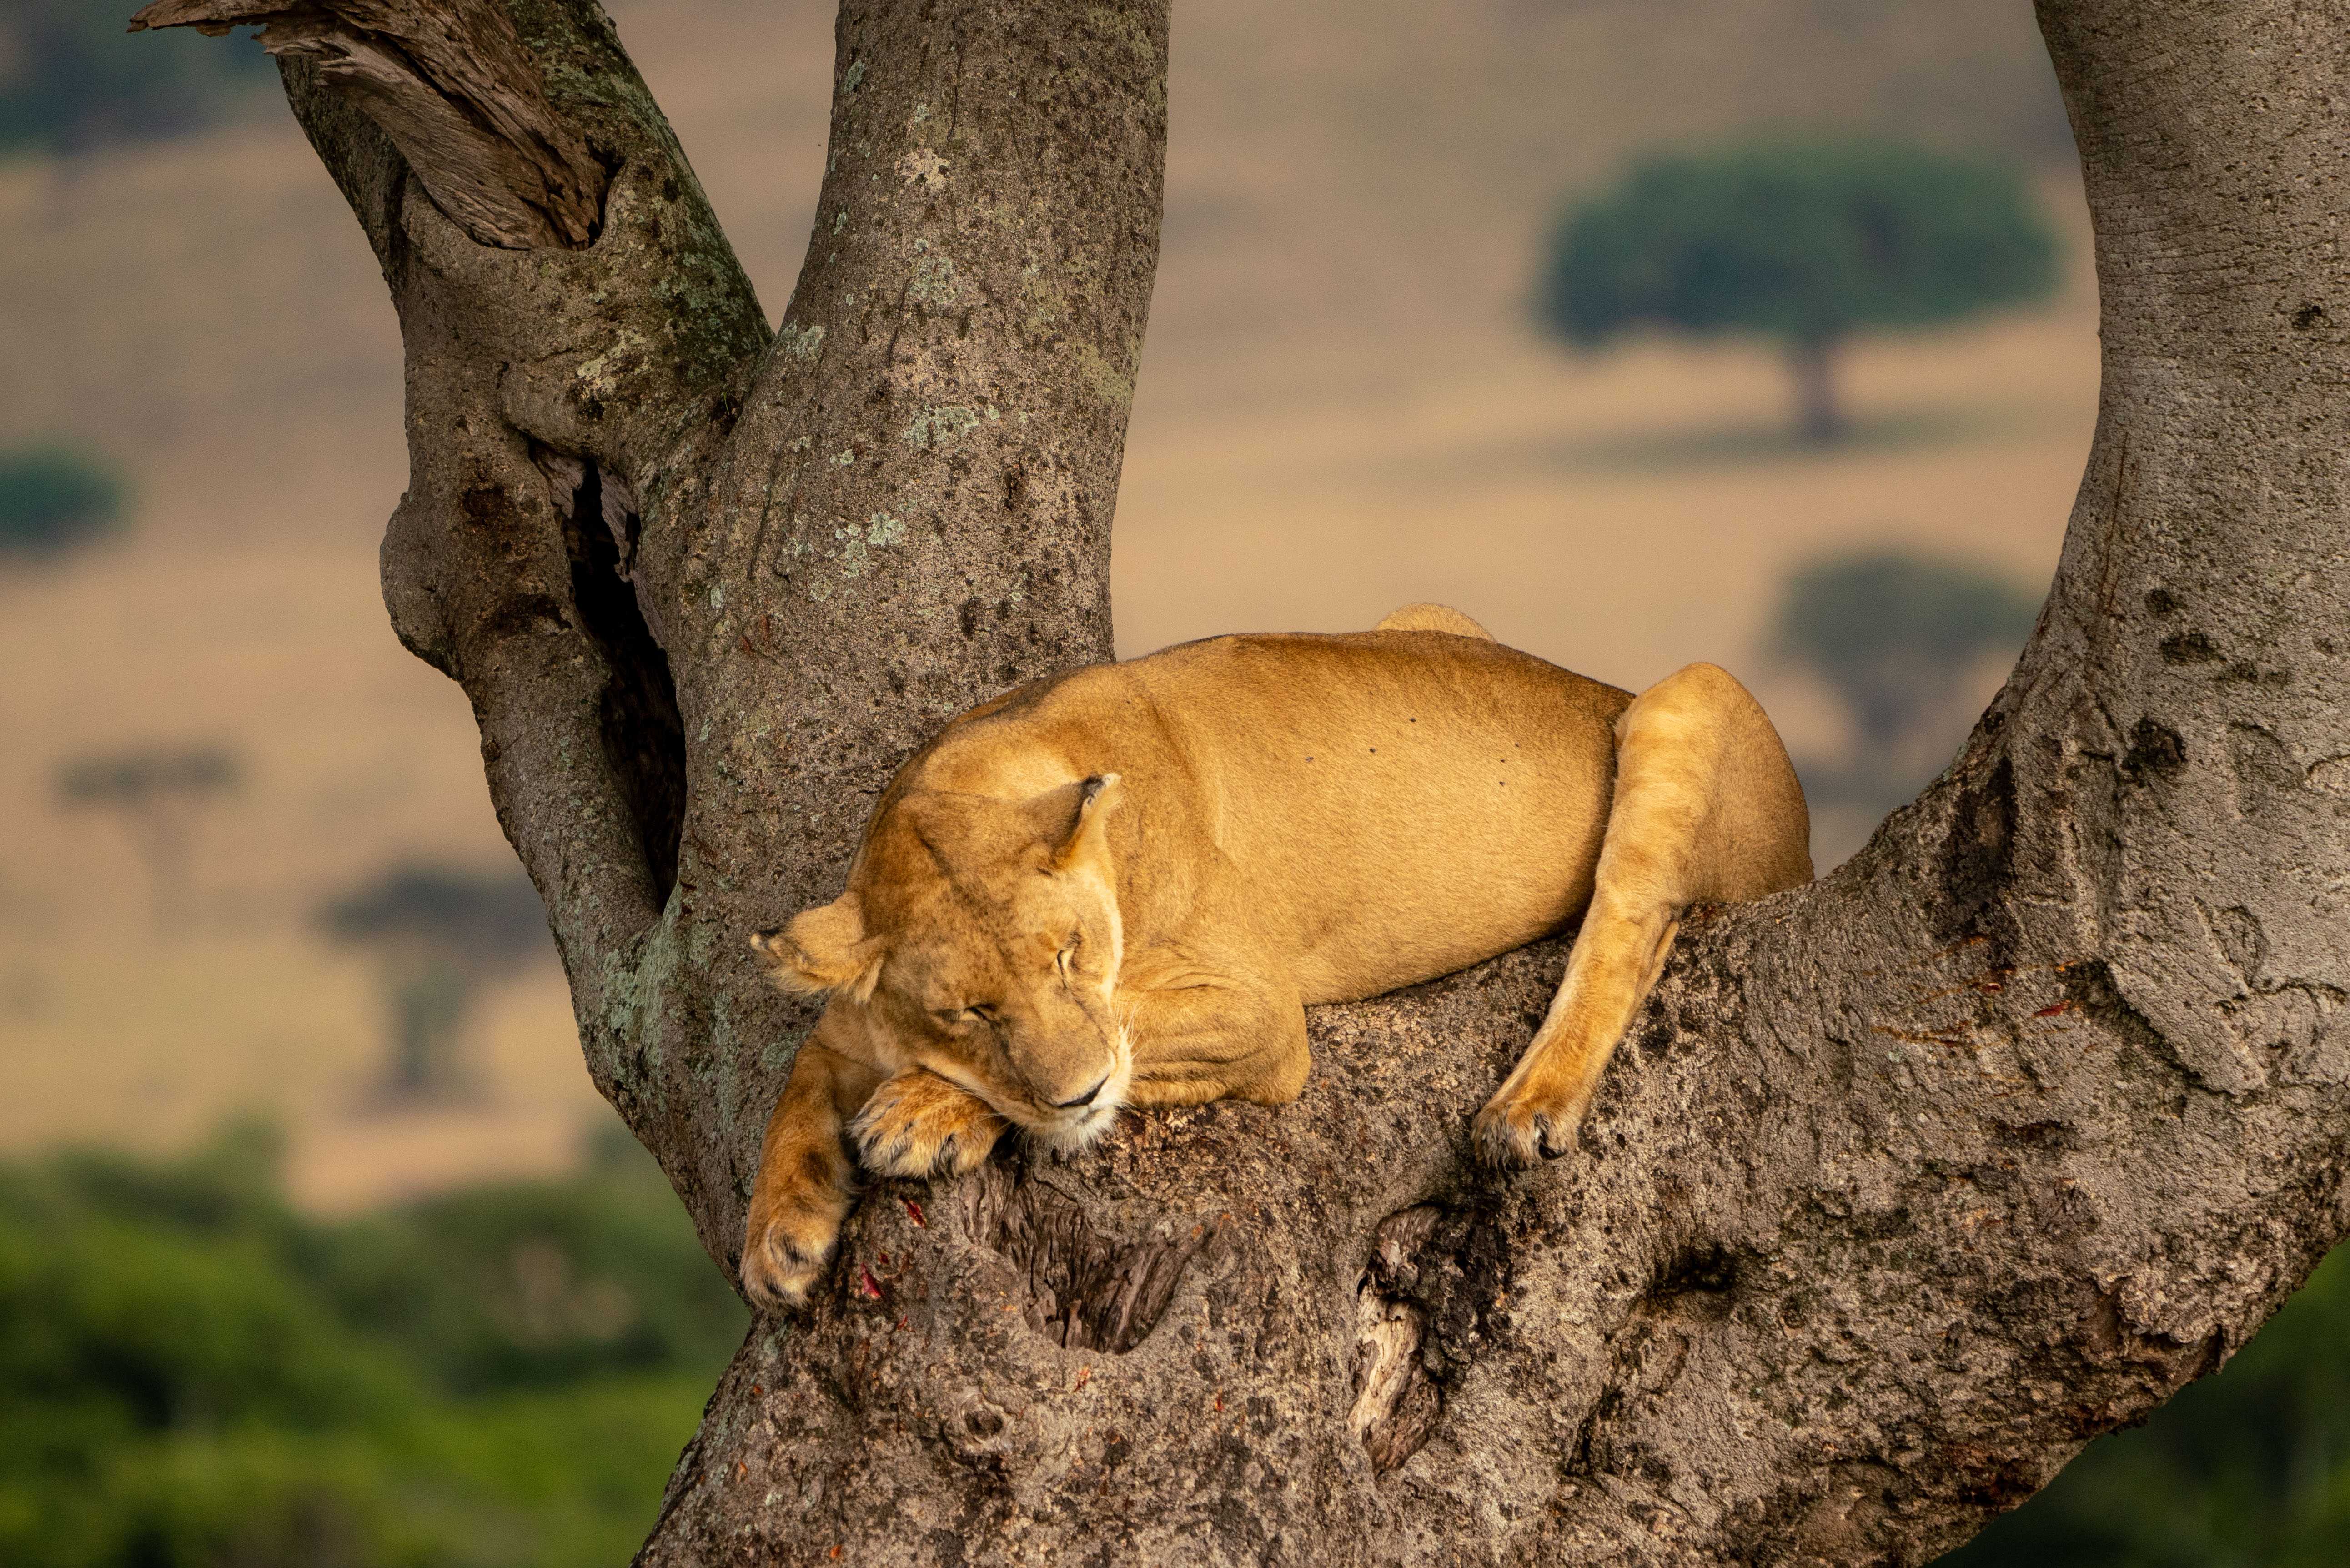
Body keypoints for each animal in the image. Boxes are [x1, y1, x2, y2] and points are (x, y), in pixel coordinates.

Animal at [740, 604, 1811, 1307]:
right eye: (968, 1010)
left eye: (1069, 954)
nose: (1077, 1096)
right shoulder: (850, 990)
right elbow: (801, 1080)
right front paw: (779, 1237)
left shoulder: (1258, 1012)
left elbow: (1121, 1033)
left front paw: (927, 1110)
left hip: (1690, 693)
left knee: (1634, 919)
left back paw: (1525, 1110)